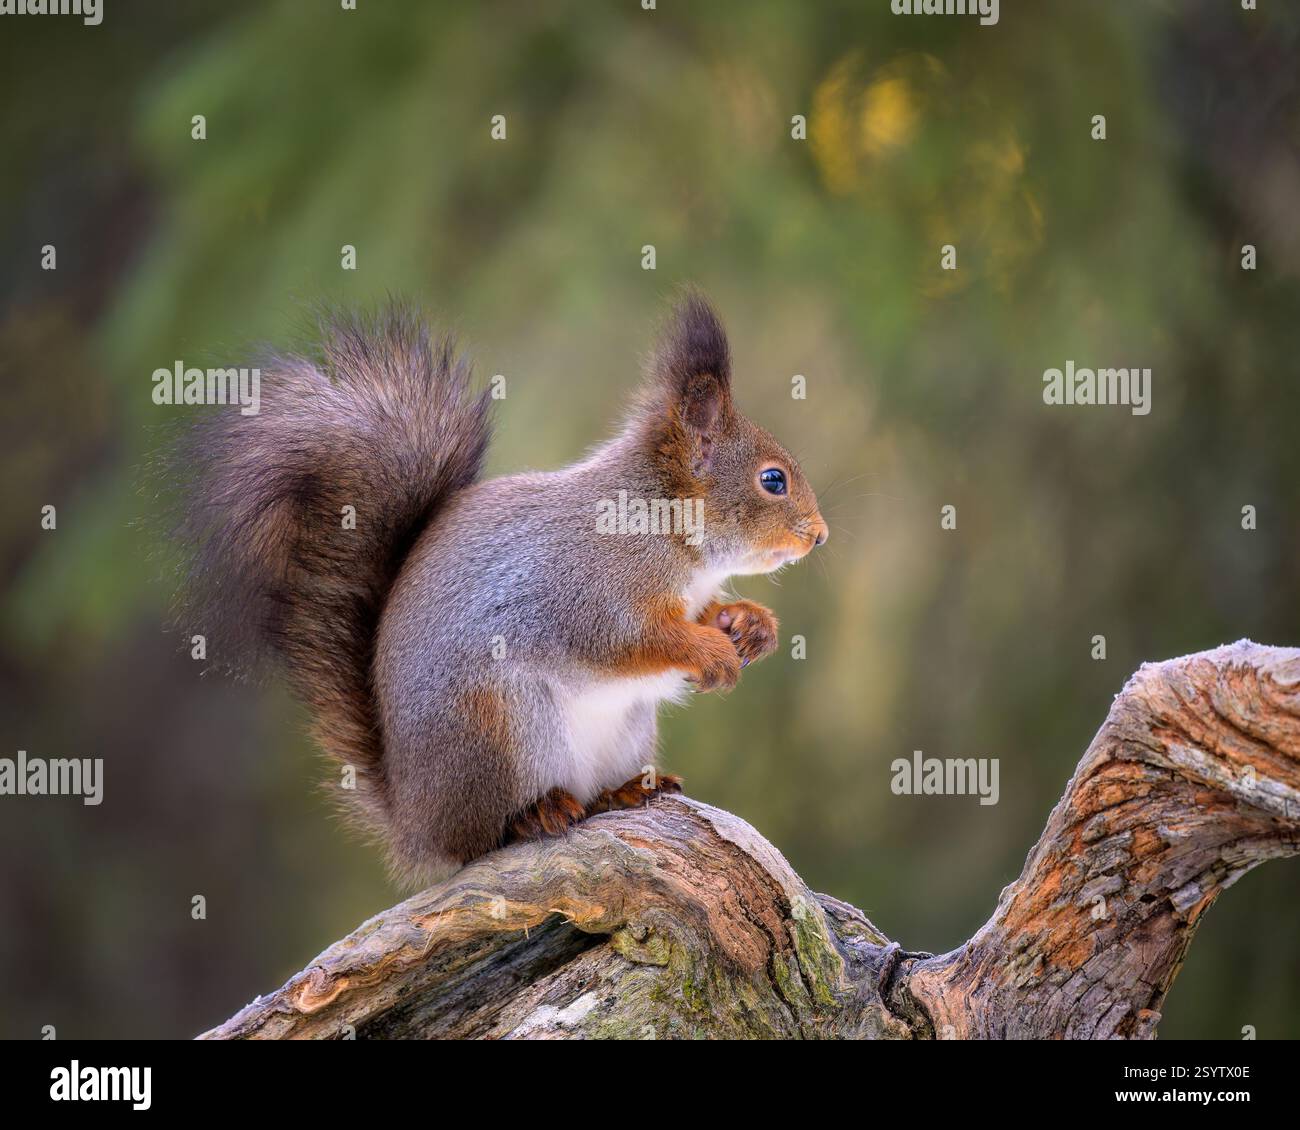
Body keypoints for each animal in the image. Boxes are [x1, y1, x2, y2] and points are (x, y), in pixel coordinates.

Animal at [178, 292, 827, 885]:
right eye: (772, 480)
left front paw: (749, 624)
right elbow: (629, 640)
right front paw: (711, 652)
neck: (663, 528)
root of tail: (415, 822)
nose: (820, 537)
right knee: (485, 836)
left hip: (623, 731)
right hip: (500, 729)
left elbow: (706, 614)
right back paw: (535, 815)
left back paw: (624, 792)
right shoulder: (591, 587)